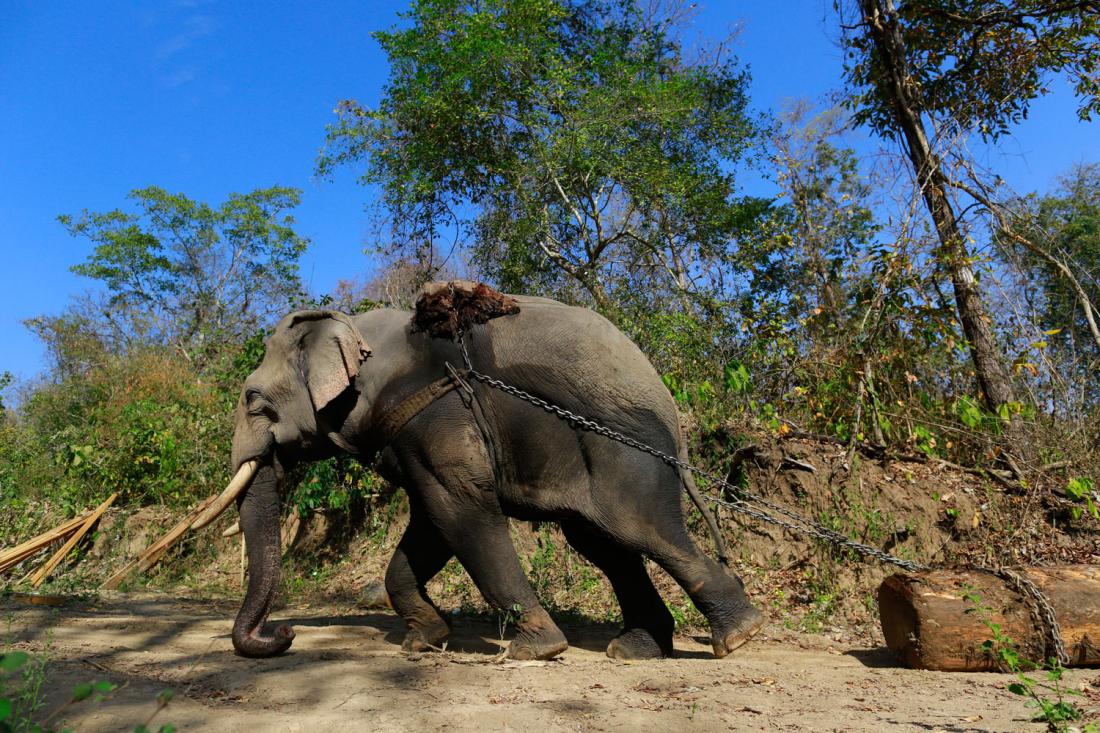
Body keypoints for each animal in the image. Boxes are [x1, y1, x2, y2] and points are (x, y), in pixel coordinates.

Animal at [194, 285, 765, 661]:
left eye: (253, 400)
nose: (287, 634)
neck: (352, 325)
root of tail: (672, 411)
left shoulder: (437, 408)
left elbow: (461, 509)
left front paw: (537, 650)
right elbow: (430, 523)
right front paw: (423, 642)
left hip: (624, 453)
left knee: (641, 531)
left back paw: (739, 636)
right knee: (604, 546)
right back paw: (637, 650)